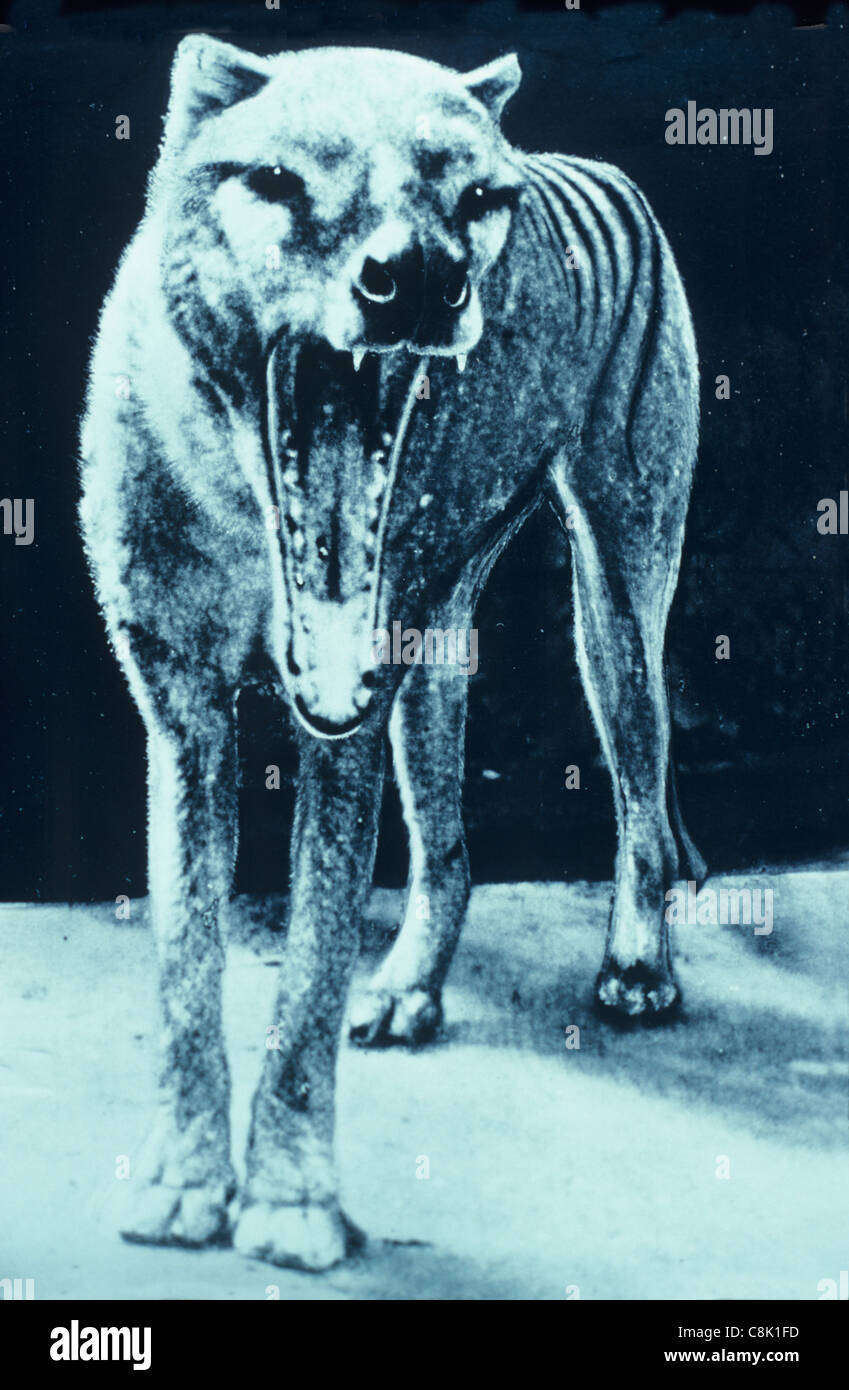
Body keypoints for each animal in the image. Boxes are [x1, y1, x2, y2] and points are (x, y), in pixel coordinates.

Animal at [80, 37, 701, 1269]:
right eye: (278, 180)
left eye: (477, 200)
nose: (420, 276)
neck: (246, 512)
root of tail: (598, 164)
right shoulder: (184, 721)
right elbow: (184, 965)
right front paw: (183, 1182)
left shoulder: (342, 736)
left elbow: (310, 975)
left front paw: (289, 1201)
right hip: (435, 650)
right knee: (450, 848)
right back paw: (411, 987)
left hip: (615, 613)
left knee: (641, 802)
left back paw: (636, 965)